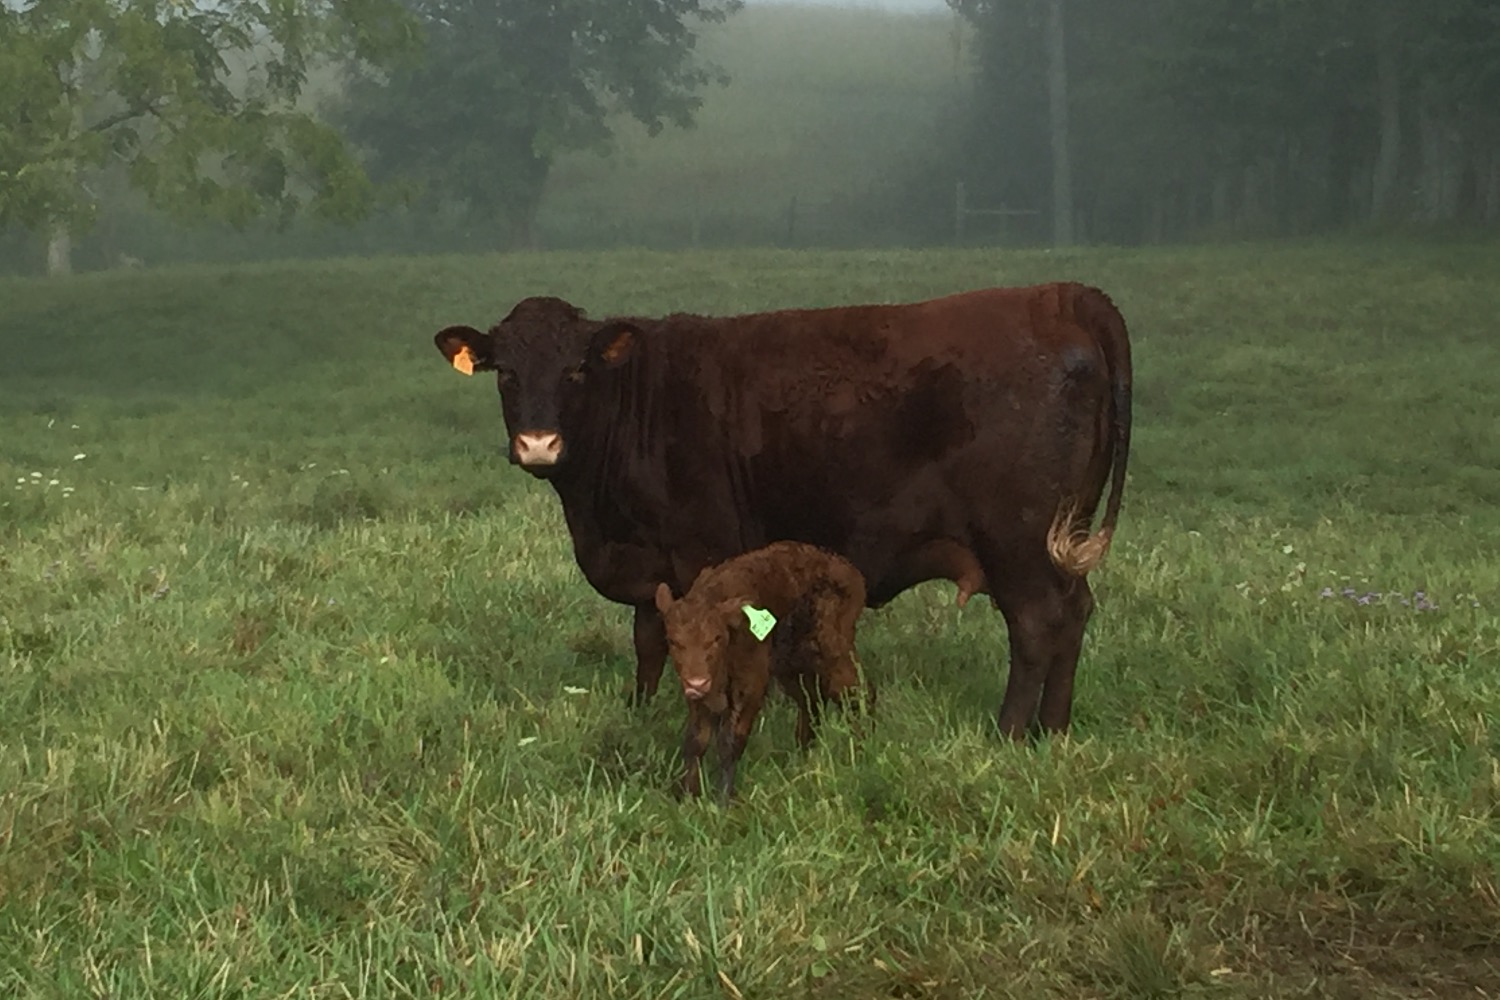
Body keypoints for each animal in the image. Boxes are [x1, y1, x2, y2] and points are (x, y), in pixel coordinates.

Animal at [433, 283, 1131, 739]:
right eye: (506, 373)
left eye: (577, 370)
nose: (538, 444)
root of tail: (1059, 295)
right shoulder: (651, 561)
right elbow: (649, 639)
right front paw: (640, 711)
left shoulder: (703, 549)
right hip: (1057, 542)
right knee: (1074, 612)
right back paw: (1052, 732)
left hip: (1017, 539)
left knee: (1037, 623)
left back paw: (1010, 733)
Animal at [653, 540, 871, 801]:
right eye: (673, 641)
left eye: (716, 638)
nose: (698, 682)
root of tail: (849, 571)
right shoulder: (699, 697)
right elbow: (696, 741)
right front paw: (688, 794)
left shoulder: (751, 687)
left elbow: (731, 741)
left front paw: (723, 799)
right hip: (791, 670)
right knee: (811, 703)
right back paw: (803, 760)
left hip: (834, 656)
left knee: (858, 695)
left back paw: (861, 751)